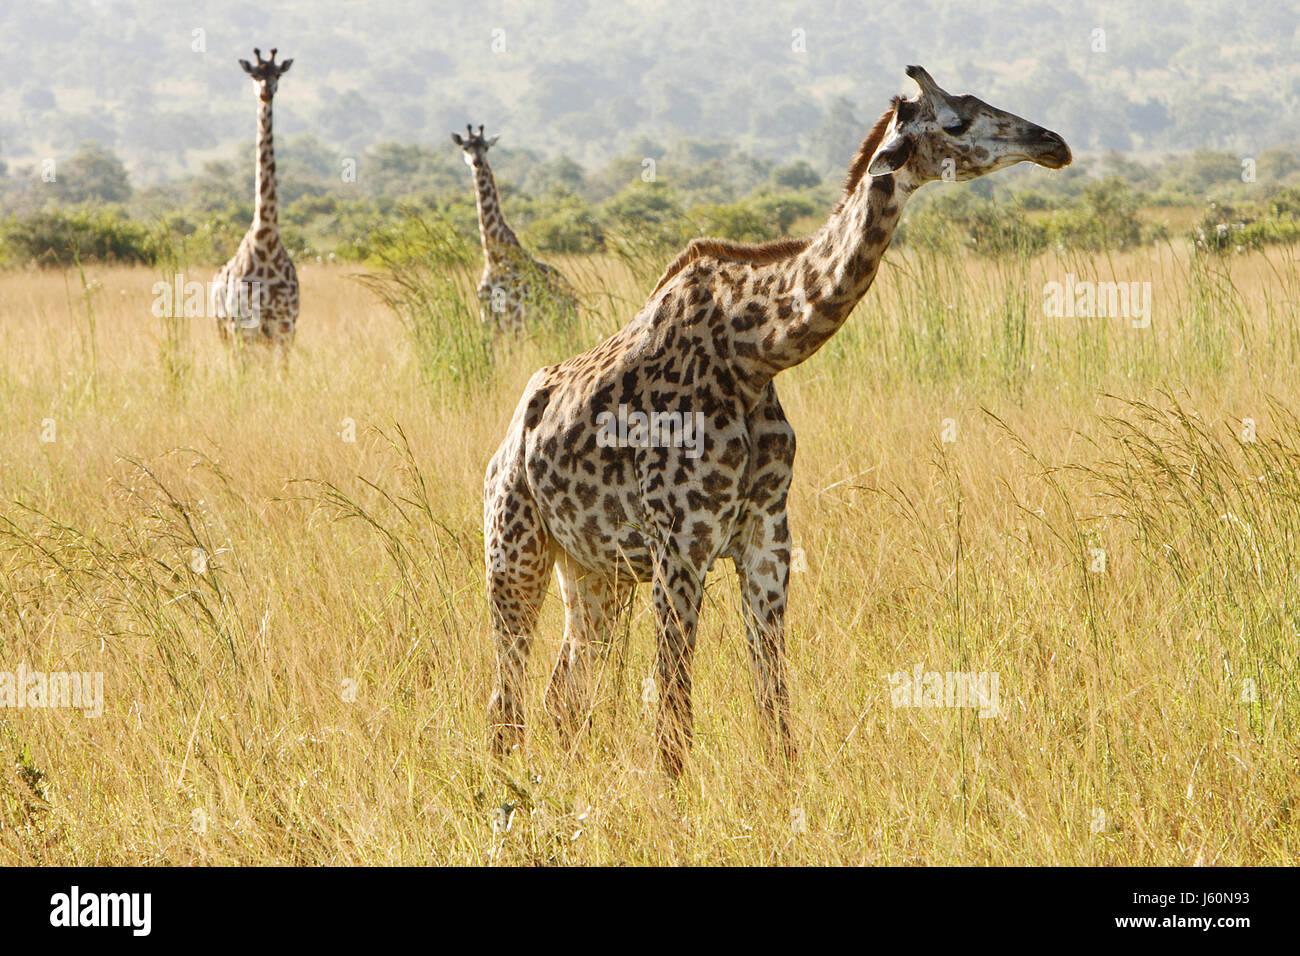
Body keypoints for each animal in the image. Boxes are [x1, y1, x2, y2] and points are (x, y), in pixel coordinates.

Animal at [213, 48, 300, 350]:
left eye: (278, 74)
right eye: (254, 74)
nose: (266, 91)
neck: (266, 239)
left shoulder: (285, 325)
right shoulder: (242, 326)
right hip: (225, 331)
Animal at [452, 124, 577, 335]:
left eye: (486, 147)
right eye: (465, 147)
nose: (477, 162)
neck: (493, 257)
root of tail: (572, 290)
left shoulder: (515, 321)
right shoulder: (489, 321)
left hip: (558, 323)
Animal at [482, 66, 1071, 777]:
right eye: (957, 121)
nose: (1054, 143)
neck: (755, 350)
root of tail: (505, 447)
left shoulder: (767, 538)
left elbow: (776, 710)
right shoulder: (680, 545)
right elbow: (674, 722)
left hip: (593, 571)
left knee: (562, 699)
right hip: (514, 550)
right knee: (508, 699)